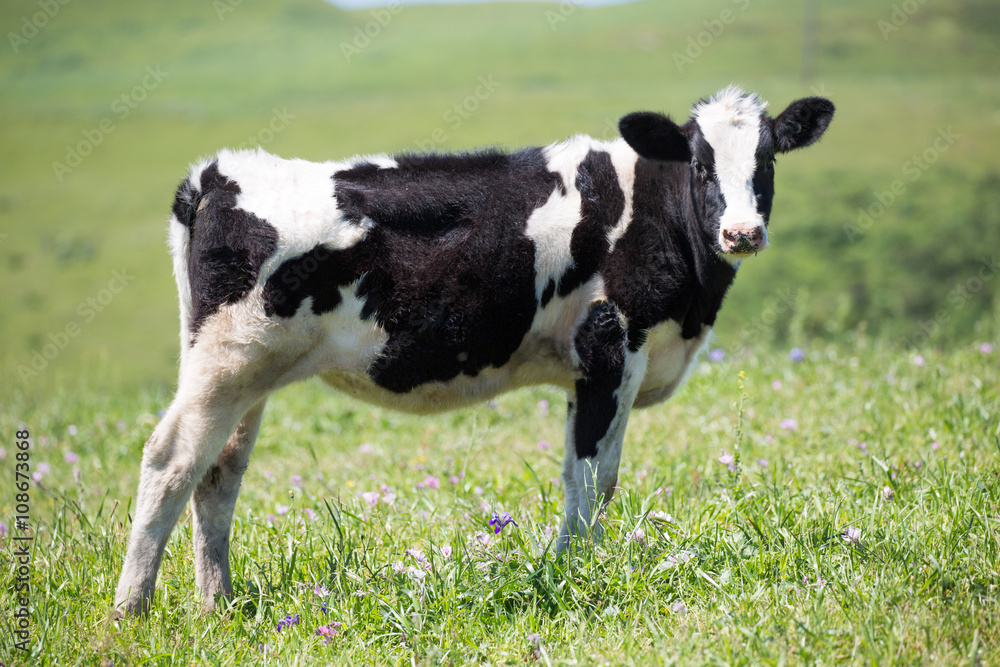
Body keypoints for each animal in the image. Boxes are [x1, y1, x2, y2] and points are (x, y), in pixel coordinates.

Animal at [114, 86, 834, 616]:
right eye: (702, 165)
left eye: (767, 162)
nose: (742, 232)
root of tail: (217, 174)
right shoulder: (611, 345)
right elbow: (595, 476)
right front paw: (580, 570)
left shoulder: (588, 369)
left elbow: (579, 474)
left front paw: (567, 566)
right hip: (226, 361)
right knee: (171, 459)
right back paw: (132, 609)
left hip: (249, 373)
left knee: (219, 471)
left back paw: (218, 604)